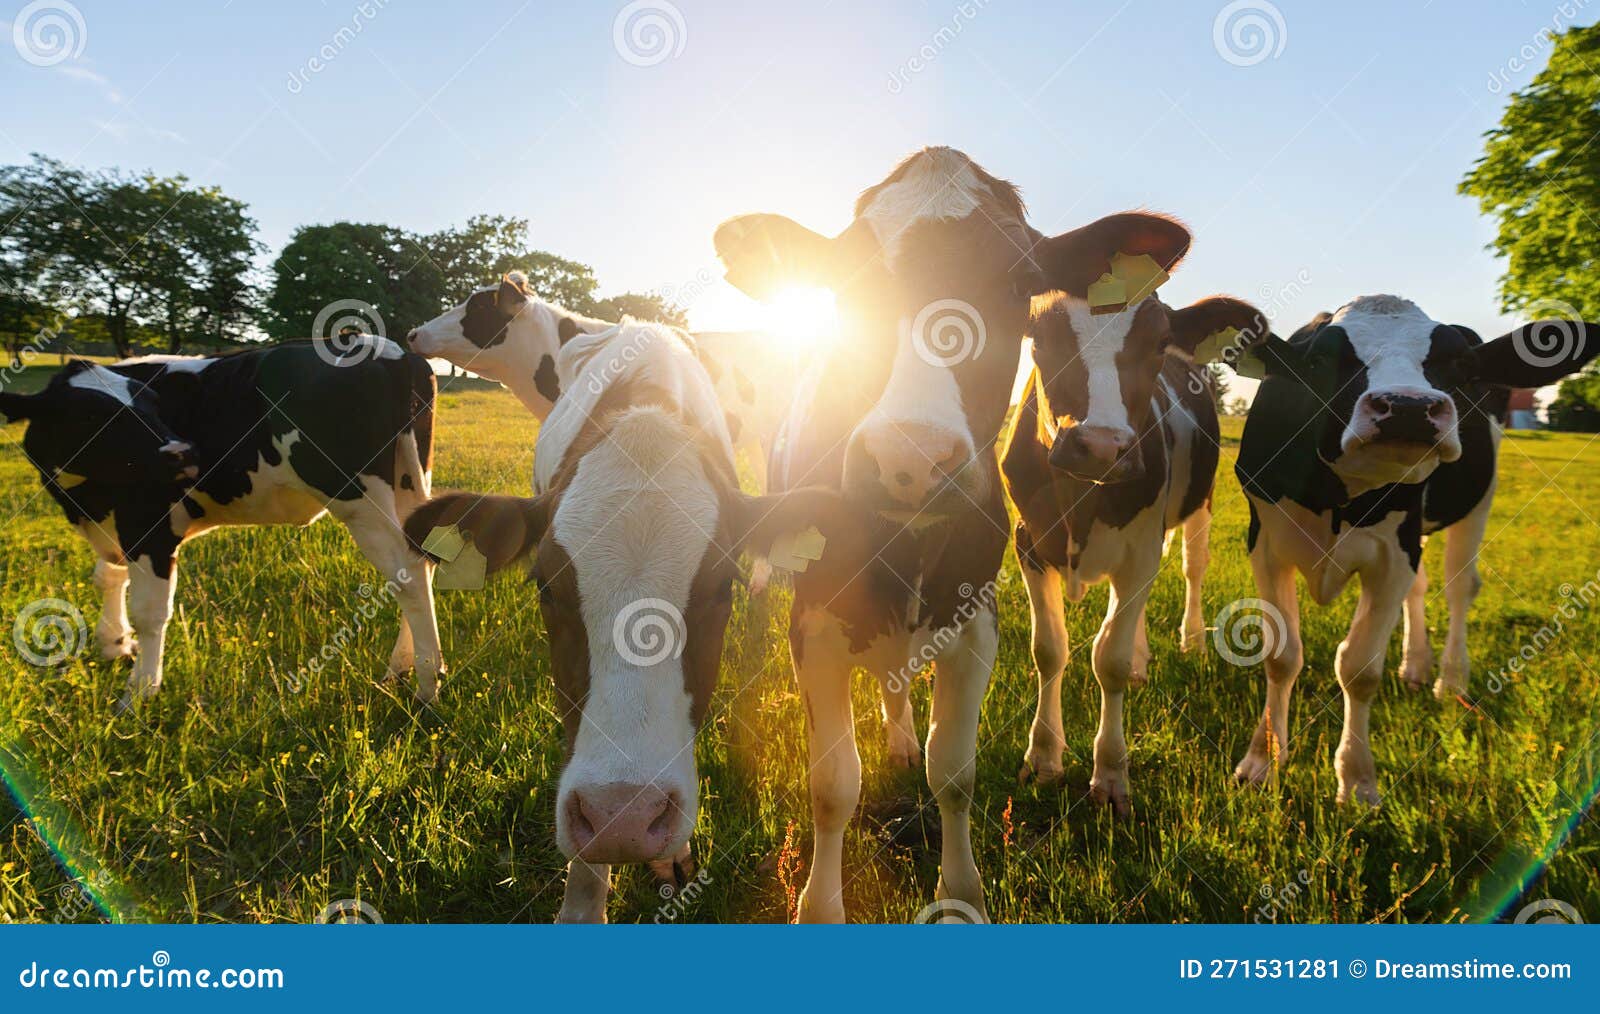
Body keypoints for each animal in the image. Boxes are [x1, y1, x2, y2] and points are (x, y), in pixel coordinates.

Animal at [0, 338, 441, 709]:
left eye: (152, 403)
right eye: (92, 414)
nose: (182, 452)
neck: (84, 502)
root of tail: (389, 351)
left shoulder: (149, 525)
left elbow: (149, 611)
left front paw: (140, 692)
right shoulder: (113, 522)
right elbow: (108, 576)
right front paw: (113, 643)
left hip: (359, 498)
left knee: (409, 576)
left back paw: (426, 685)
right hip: (408, 479)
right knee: (423, 561)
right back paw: (401, 667)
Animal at [715, 146, 1214, 921]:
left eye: (1018, 285)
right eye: (847, 278)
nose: (910, 460)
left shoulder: (978, 620)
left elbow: (953, 772)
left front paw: (959, 895)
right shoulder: (815, 625)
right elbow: (832, 785)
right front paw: (819, 905)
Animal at [1000, 215, 1269, 813]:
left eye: (1159, 341)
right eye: (1040, 335)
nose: (1101, 445)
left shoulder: (1141, 550)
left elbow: (1111, 660)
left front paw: (1110, 775)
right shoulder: (1028, 542)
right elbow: (1049, 649)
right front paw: (1043, 758)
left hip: (1200, 505)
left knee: (1191, 568)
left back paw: (1191, 639)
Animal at [1211, 294, 1600, 804]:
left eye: (1460, 364)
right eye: (1320, 360)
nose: (1407, 406)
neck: (1339, 492)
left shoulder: (1393, 556)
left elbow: (1359, 668)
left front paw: (1356, 780)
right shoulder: (1266, 543)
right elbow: (1281, 657)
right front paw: (1262, 762)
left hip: (1477, 501)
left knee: (1459, 586)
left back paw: (1449, 679)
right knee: (1423, 587)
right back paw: (1416, 665)